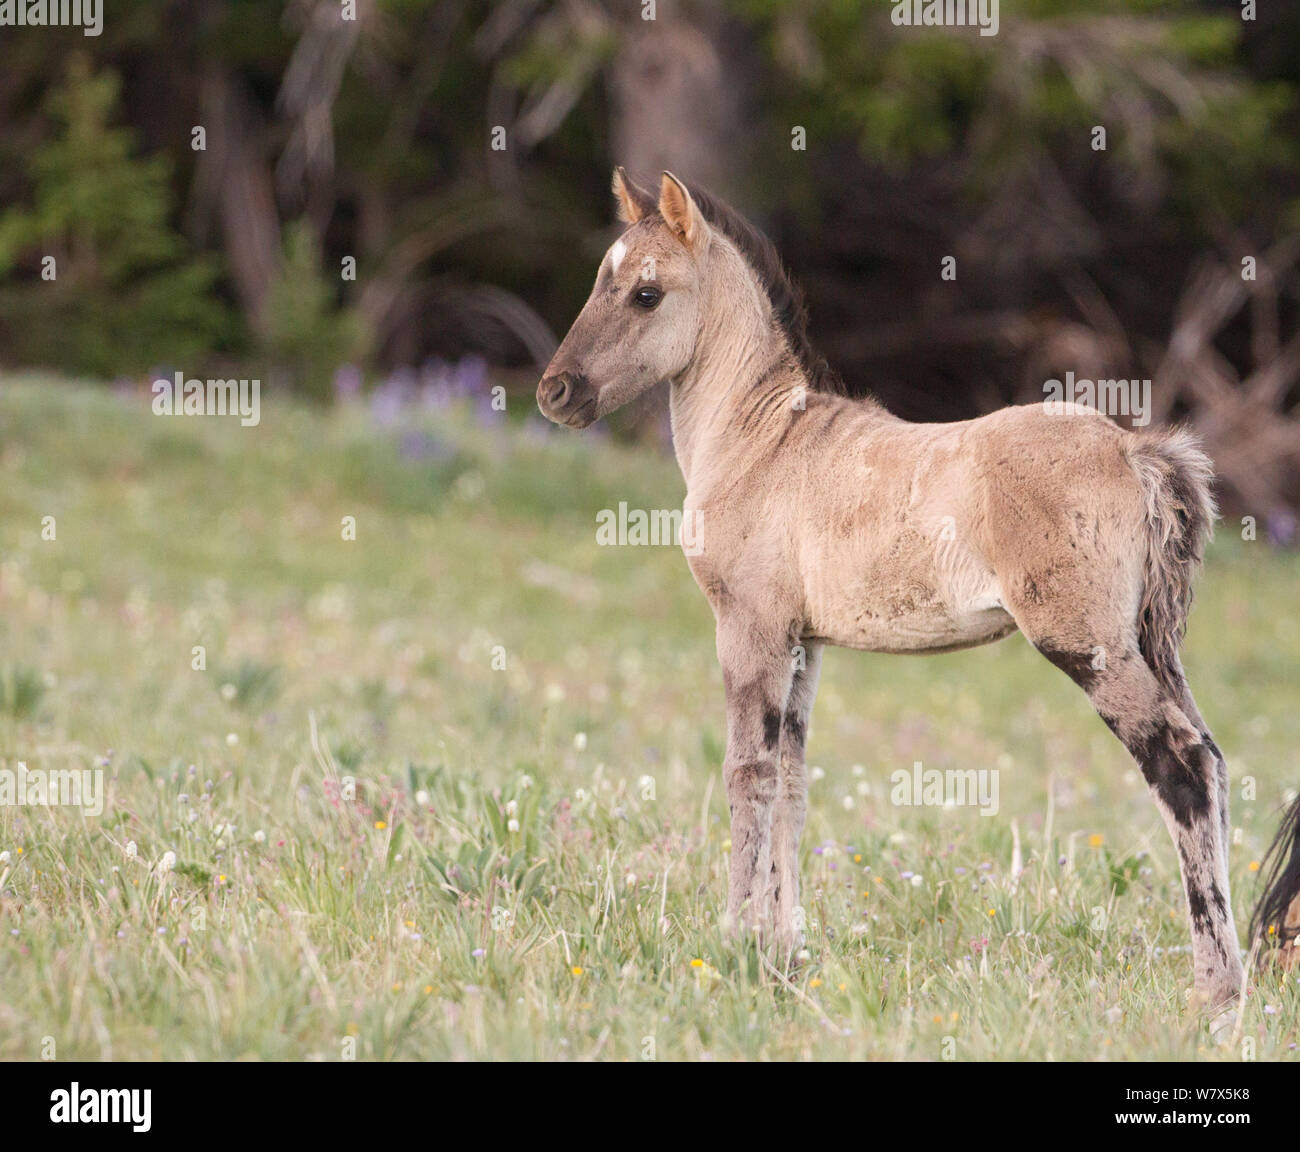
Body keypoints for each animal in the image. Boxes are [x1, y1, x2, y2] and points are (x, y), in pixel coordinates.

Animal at [535, 165, 1300, 1018]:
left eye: (645, 293)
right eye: (601, 281)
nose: (555, 392)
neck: (761, 442)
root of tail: (1138, 452)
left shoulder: (749, 628)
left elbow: (747, 775)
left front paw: (733, 947)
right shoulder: (805, 644)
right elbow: (793, 785)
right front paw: (783, 955)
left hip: (1091, 647)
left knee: (1183, 765)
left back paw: (1217, 993)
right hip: (1152, 643)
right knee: (1217, 762)